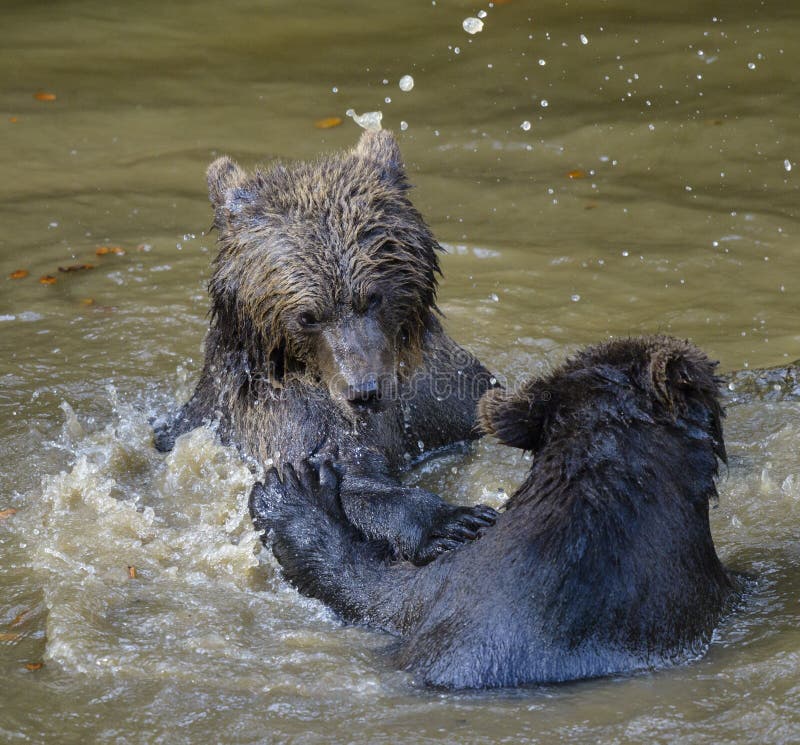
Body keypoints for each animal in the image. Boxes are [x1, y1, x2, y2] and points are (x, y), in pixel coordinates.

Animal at [154, 130, 497, 564]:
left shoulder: (440, 390)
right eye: (308, 317)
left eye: (373, 297)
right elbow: (346, 481)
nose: (364, 391)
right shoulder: (288, 417)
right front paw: (452, 520)